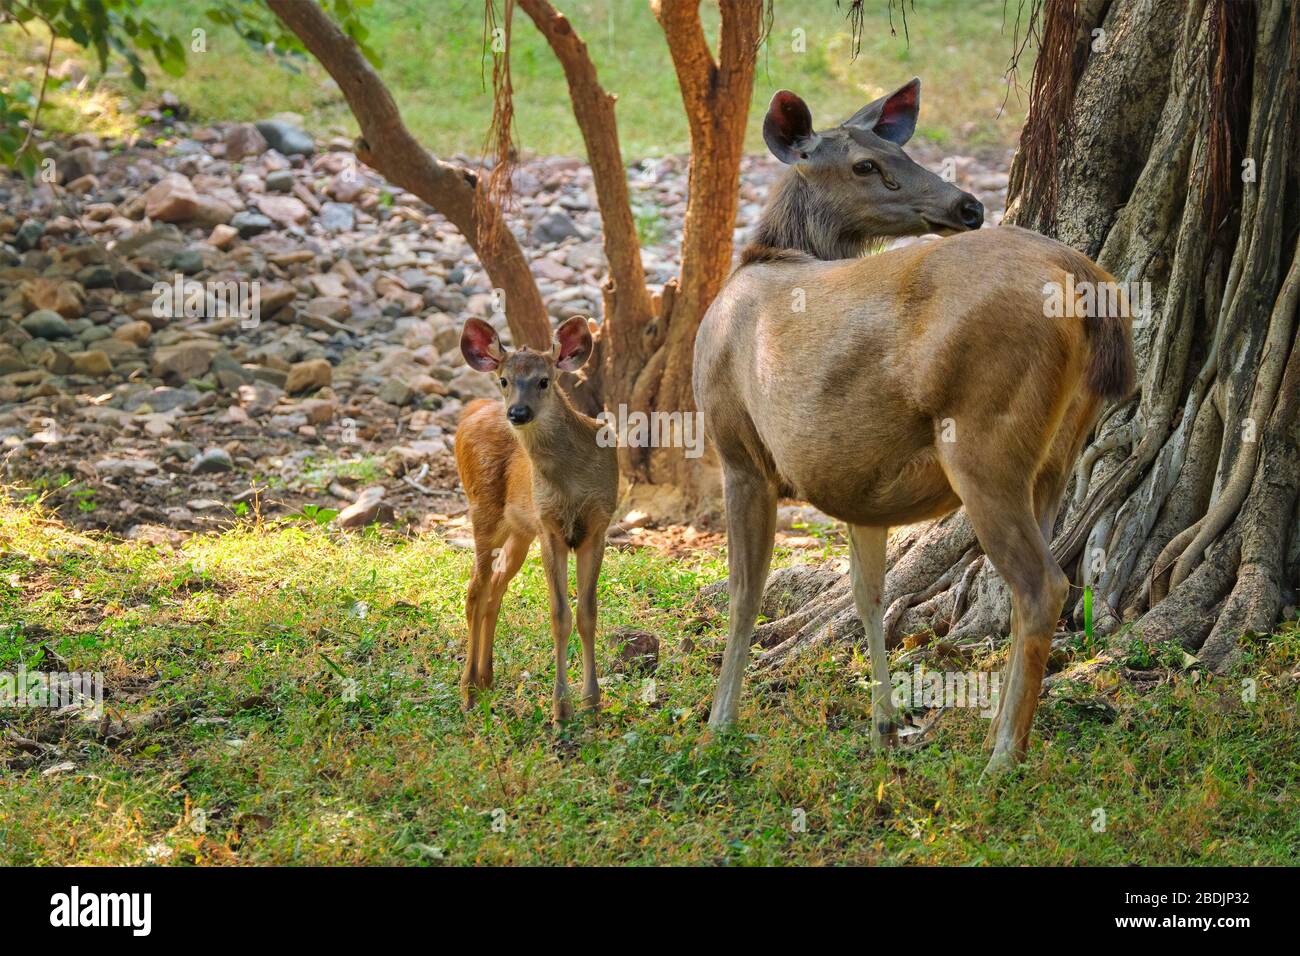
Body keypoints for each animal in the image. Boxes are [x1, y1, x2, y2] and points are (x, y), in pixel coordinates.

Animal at [696, 78, 1133, 775]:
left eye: (896, 153)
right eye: (865, 164)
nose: (968, 204)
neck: (768, 259)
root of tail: (1090, 285)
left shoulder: (739, 450)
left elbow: (744, 593)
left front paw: (719, 725)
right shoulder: (857, 486)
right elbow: (868, 595)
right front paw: (883, 726)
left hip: (982, 443)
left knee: (1042, 585)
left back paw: (1001, 759)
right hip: (1056, 455)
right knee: (1034, 579)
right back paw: (1004, 734)